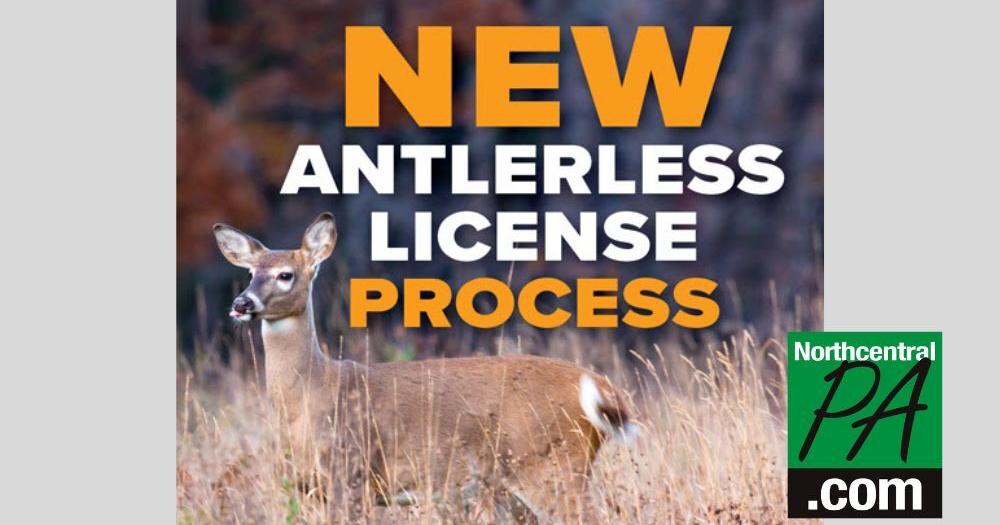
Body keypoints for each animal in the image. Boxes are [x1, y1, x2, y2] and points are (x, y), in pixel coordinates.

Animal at [213, 212, 636, 522]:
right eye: (251, 272)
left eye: (286, 275)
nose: (241, 303)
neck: (313, 393)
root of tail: (597, 383)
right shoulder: (314, 488)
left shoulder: (351, 474)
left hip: (553, 466)